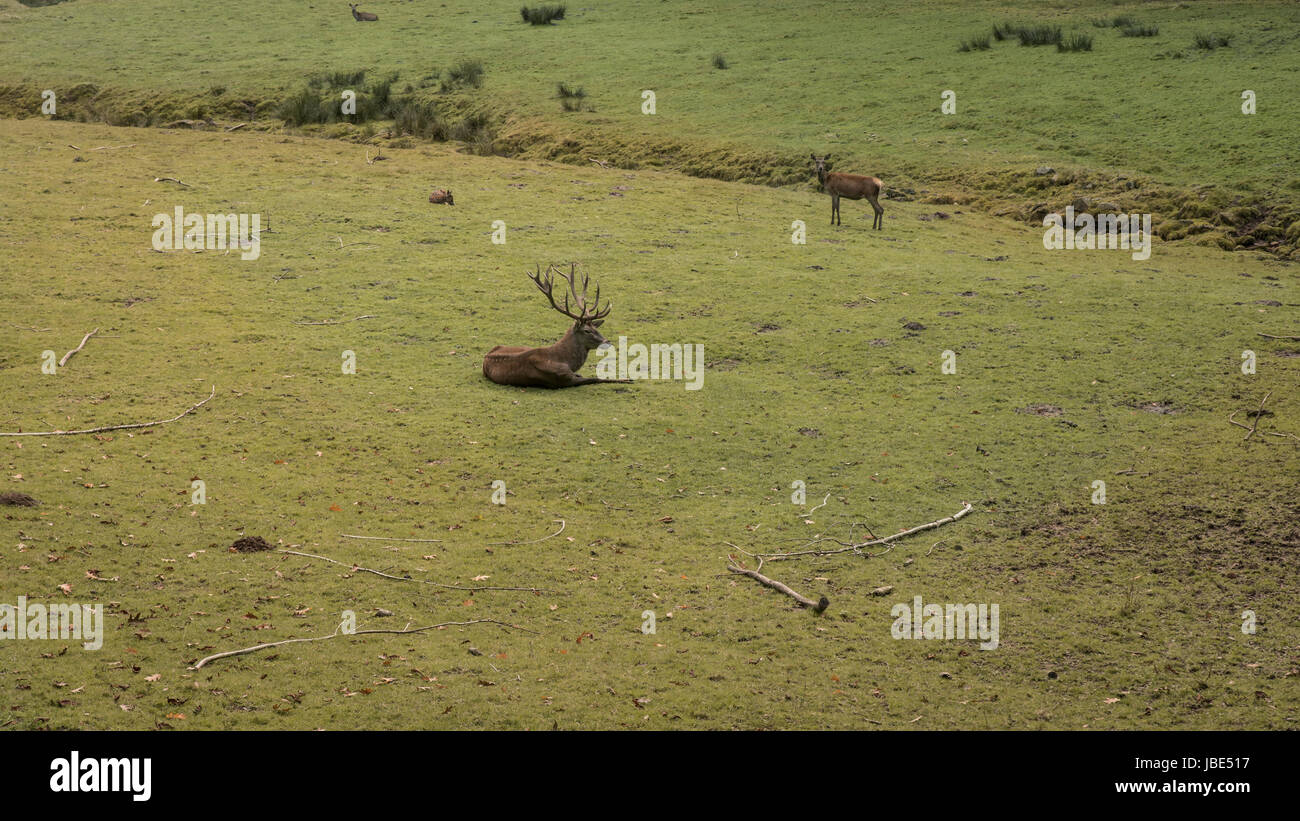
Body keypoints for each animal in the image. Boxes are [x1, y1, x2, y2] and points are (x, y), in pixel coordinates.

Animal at [482, 264, 633, 389]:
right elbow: (595, 378)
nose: (607, 342)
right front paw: (627, 379)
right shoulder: (563, 379)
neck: (565, 360)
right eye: (587, 330)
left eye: (596, 328)